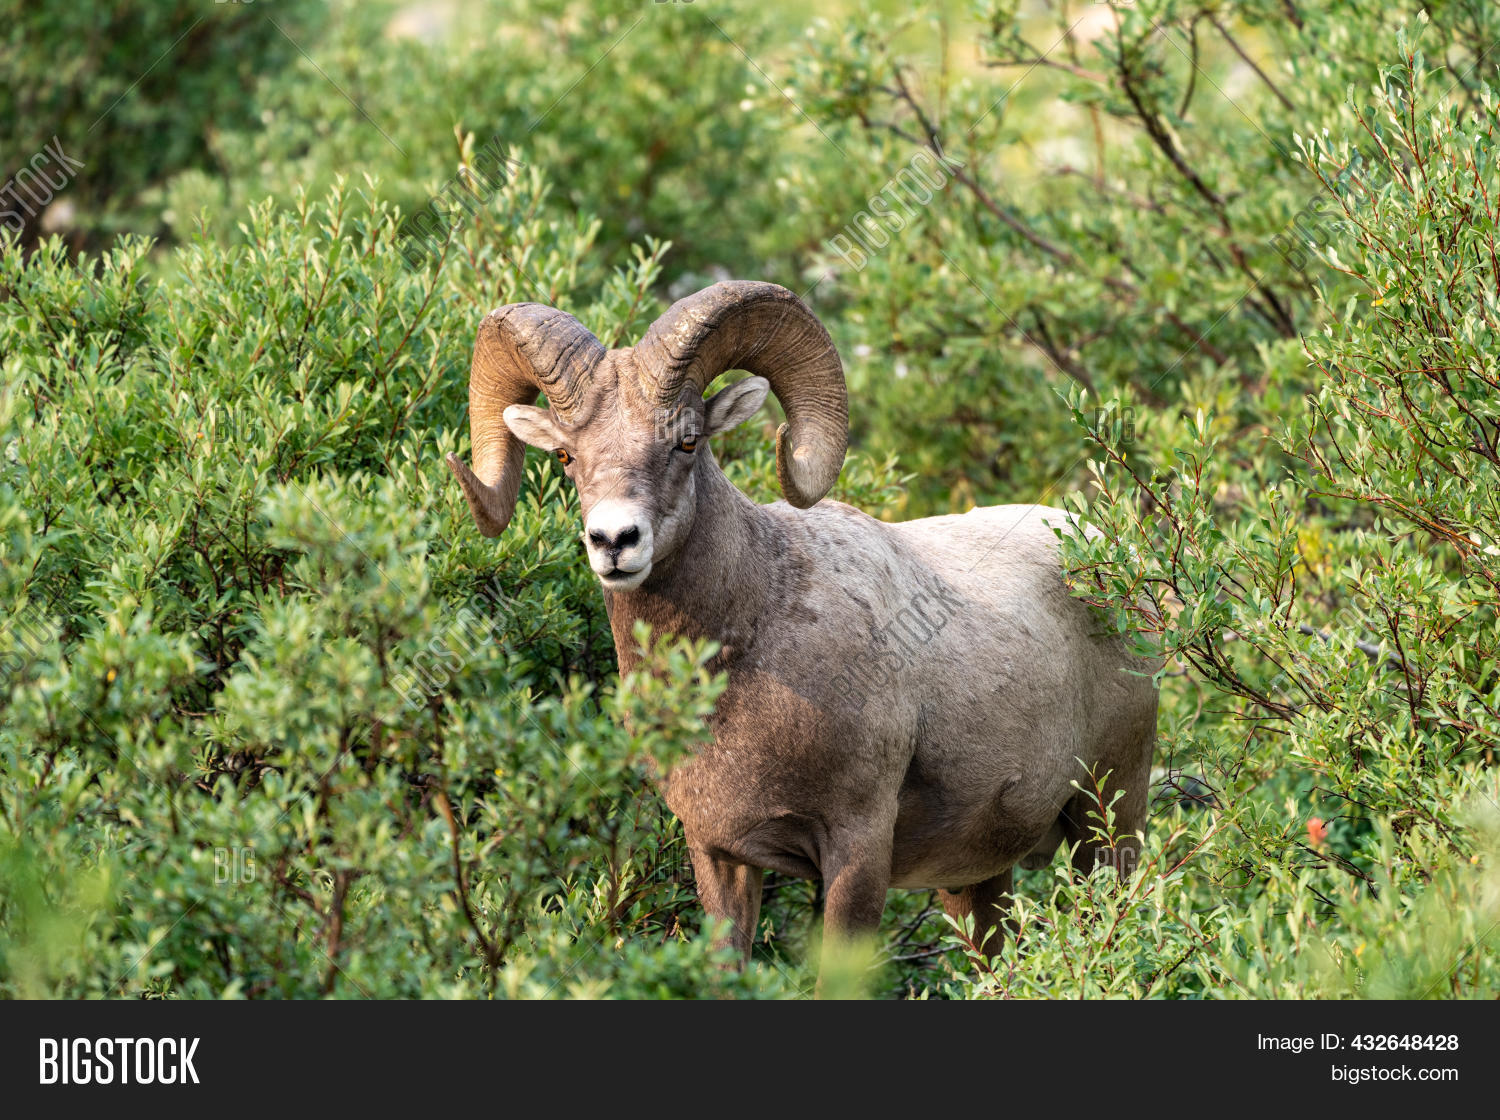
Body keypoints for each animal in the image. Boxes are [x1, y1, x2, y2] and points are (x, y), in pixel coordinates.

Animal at [447, 280, 1159, 968]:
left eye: (686, 440)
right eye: (567, 456)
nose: (614, 541)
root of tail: (1112, 557)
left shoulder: (855, 850)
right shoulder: (720, 858)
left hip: (1110, 821)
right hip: (977, 881)